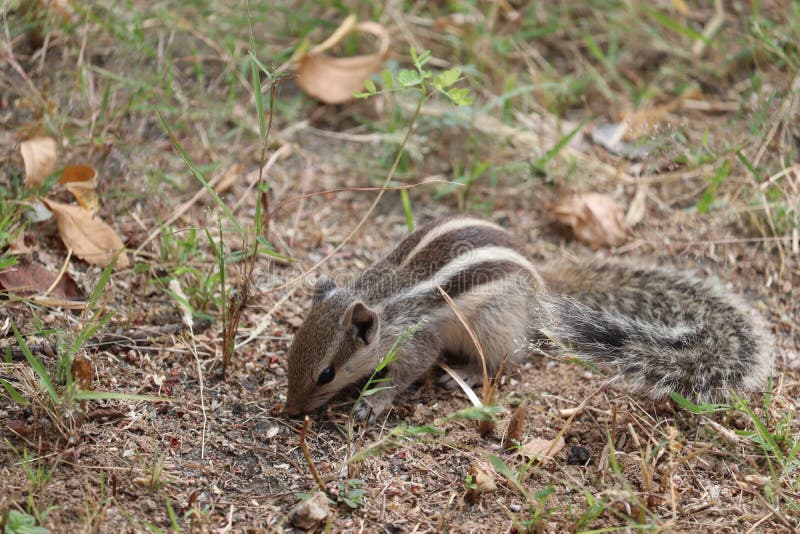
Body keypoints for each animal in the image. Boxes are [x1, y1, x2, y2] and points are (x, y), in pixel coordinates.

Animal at [285, 215, 773, 422]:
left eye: (326, 374)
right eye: (290, 357)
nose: (289, 412)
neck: (384, 303)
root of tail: (540, 281)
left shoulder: (417, 339)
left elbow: (407, 372)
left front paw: (374, 400)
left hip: (495, 323)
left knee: (510, 358)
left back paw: (468, 372)